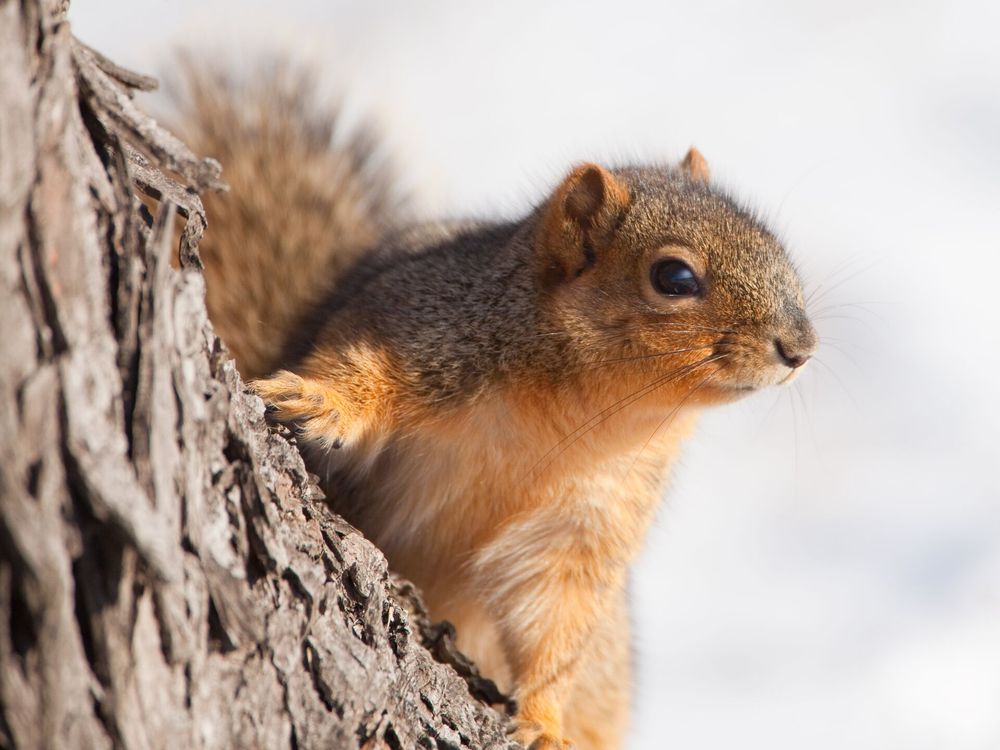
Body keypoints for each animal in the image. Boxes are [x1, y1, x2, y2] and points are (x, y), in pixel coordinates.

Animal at [176, 65, 817, 750]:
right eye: (674, 278)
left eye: (775, 247)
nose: (802, 348)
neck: (577, 411)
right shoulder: (416, 321)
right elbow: (359, 368)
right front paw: (319, 399)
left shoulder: (590, 521)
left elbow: (556, 621)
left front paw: (545, 724)